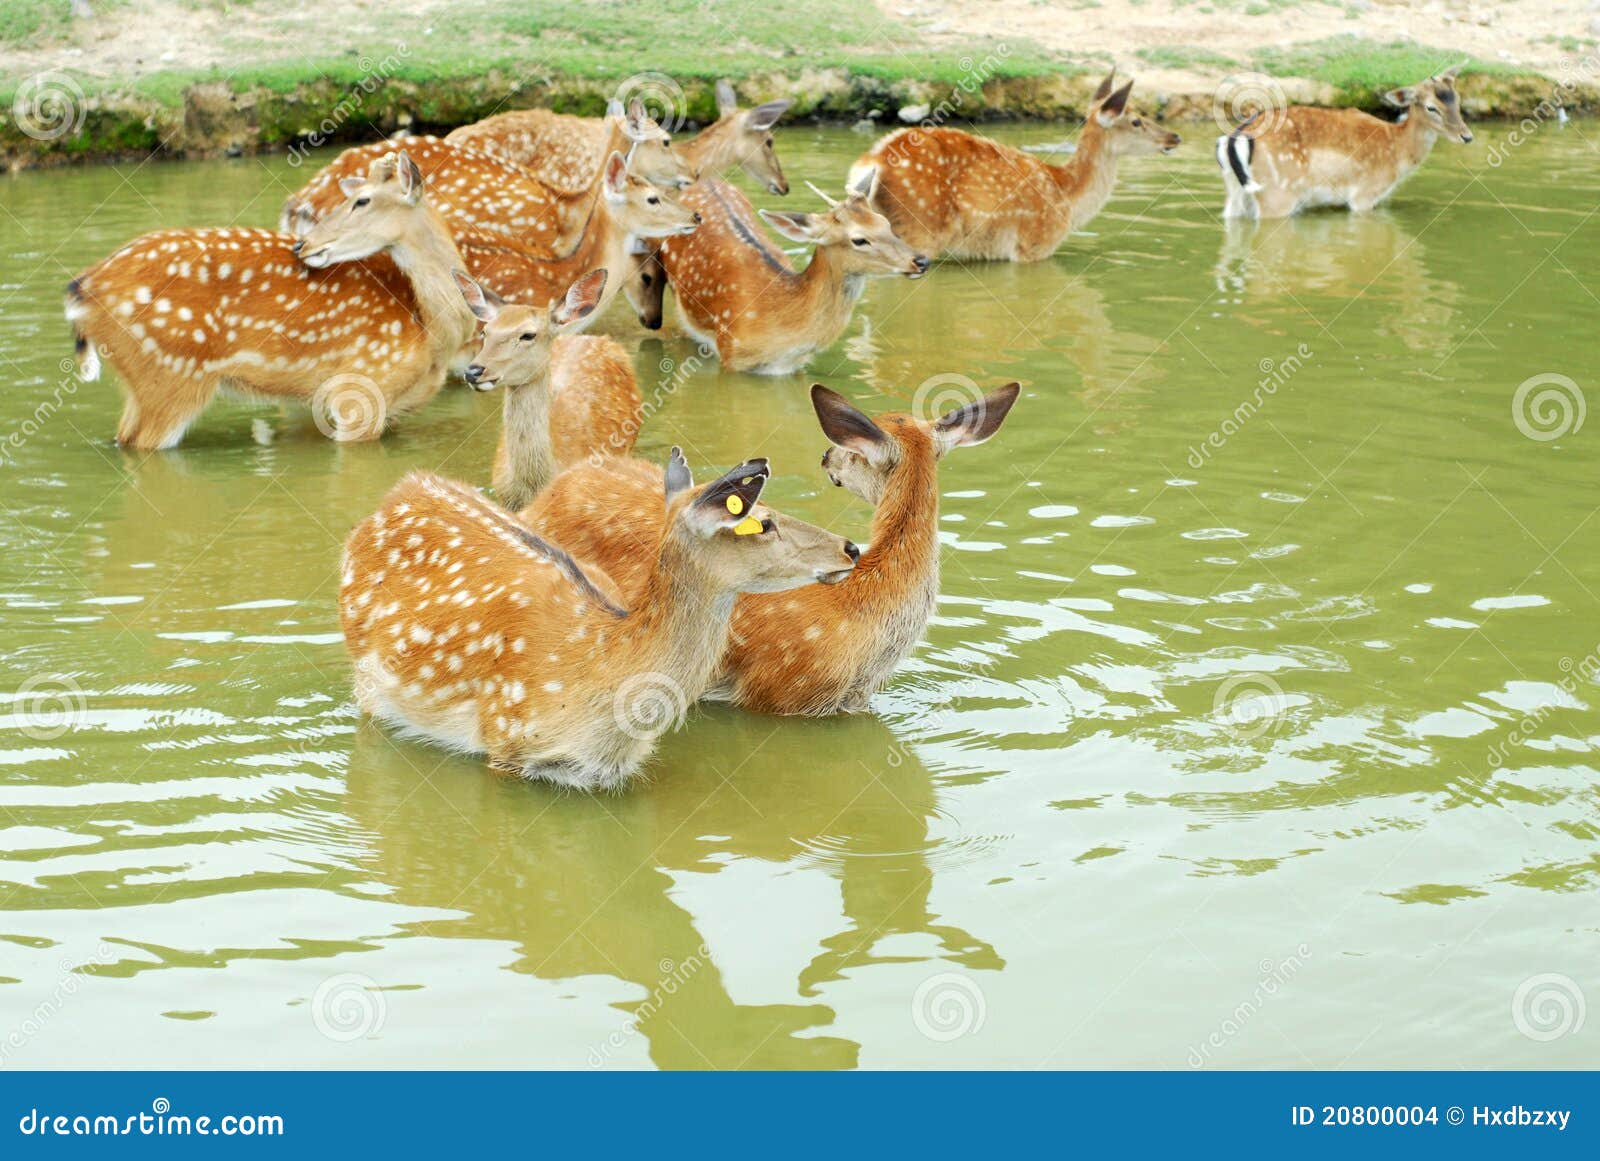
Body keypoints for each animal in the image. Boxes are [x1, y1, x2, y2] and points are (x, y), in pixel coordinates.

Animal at [65, 152, 477, 449]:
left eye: (362, 201)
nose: (303, 245)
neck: (430, 329)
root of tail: (82, 288)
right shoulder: (361, 386)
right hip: (171, 371)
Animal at [852, 69, 1180, 262]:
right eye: (1136, 120)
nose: (1174, 137)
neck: (1068, 199)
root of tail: (873, 161)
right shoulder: (1034, 245)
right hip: (920, 224)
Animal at [1216, 67, 1473, 220]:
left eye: (1457, 99)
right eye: (1431, 107)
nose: (1467, 136)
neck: (1398, 152)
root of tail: (1235, 137)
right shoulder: (1365, 194)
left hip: (1236, 192)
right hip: (1277, 192)